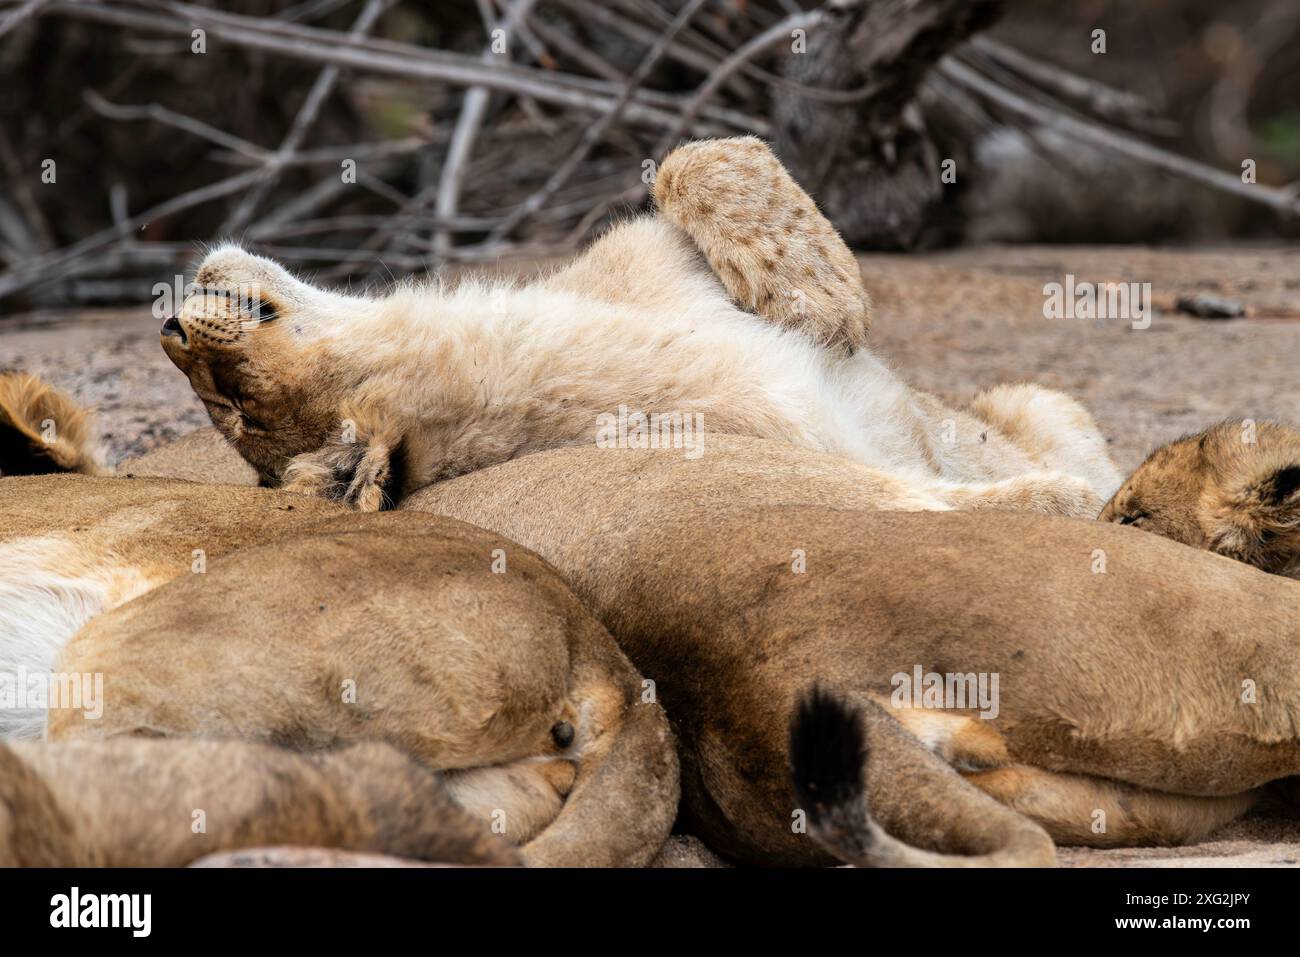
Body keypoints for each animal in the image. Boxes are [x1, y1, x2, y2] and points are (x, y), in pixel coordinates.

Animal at [158, 137, 1118, 517]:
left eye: (228, 402)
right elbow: (972, 498)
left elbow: (695, 162)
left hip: (1040, 397)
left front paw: (823, 303)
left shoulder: (651, 253)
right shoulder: (814, 453)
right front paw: (1073, 506)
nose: (167, 326)